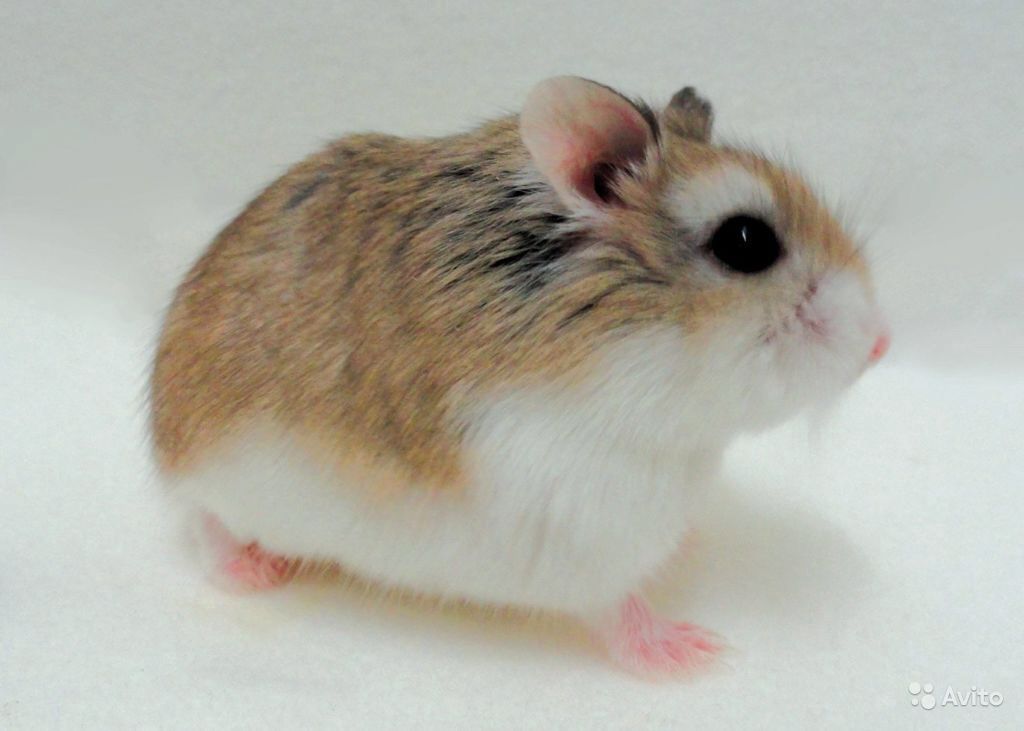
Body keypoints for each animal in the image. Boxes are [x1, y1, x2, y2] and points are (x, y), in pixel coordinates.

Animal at [150, 76, 889, 676]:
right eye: (746, 241)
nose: (881, 344)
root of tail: (164, 440)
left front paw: (690, 547)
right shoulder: (585, 531)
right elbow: (618, 610)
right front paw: (693, 653)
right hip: (231, 482)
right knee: (203, 521)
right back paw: (254, 570)